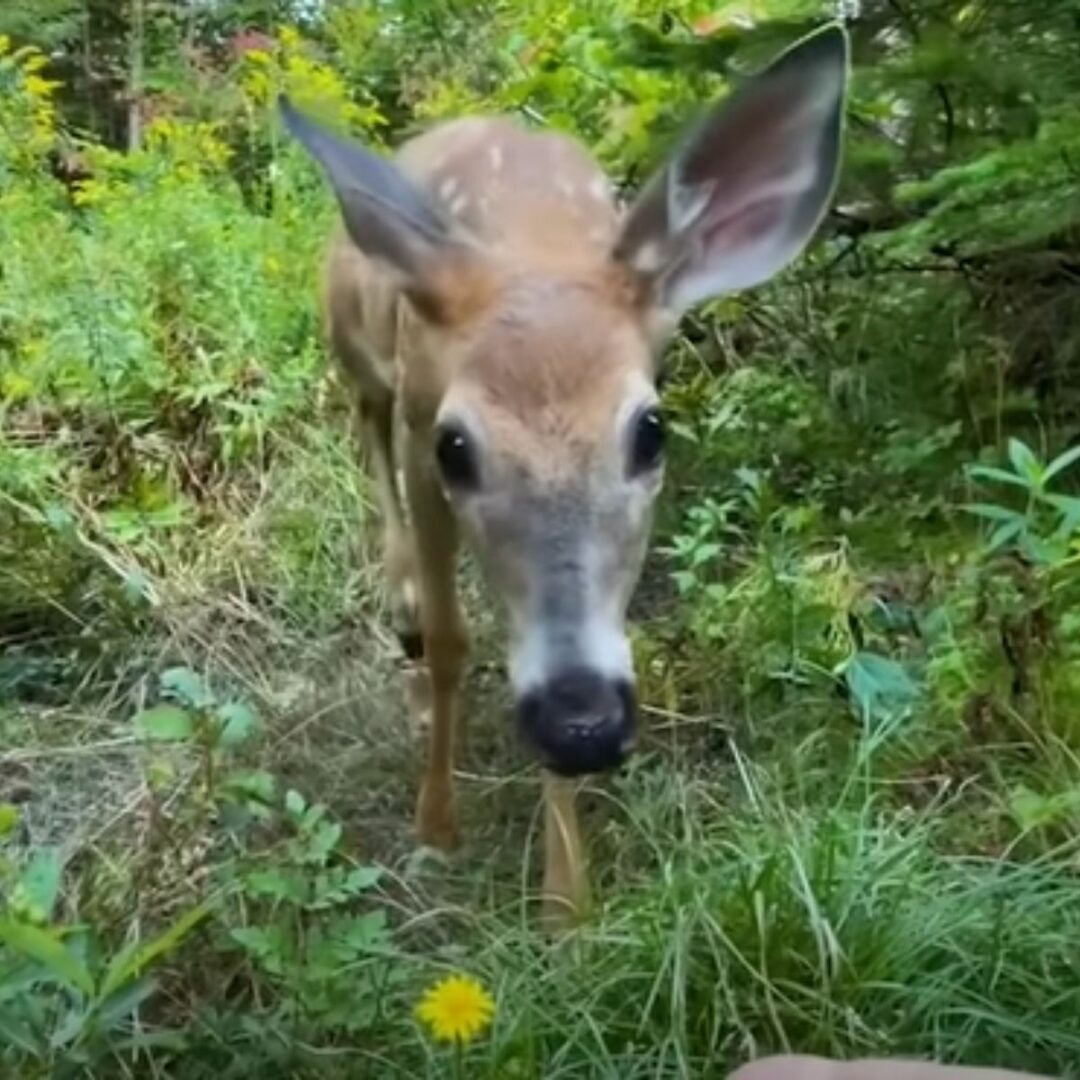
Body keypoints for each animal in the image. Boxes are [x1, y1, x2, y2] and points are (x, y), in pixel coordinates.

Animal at [279, 23, 849, 931]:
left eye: (651, 431)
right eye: (458, 448)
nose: (583, 727)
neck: (532, 240)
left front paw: (565, 901)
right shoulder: (419, 426)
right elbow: (453, 639)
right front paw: (436, 825)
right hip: (352, 341)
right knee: (363, 427)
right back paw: (403, 608)